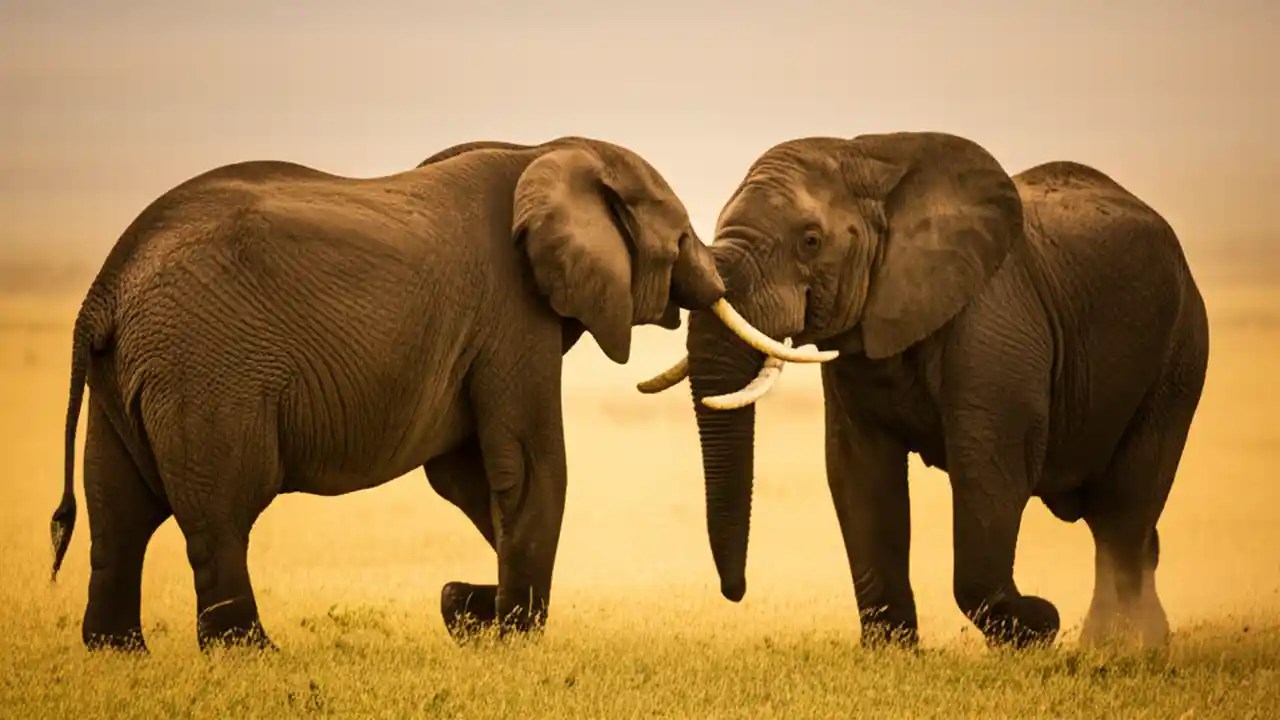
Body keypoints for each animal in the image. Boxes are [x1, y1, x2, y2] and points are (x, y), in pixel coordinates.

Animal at [48, 135, 834, 653]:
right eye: (682, 237)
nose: (735, 596)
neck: (543, 150)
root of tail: (103, 287)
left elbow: (467, 476)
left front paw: (469, 611)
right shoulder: (512, 312)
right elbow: (531, 467)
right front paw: (512, 633)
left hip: (135, 377)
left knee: (118, 515)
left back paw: (118, 653)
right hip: (208, 374)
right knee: (219, 514)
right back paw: (252, 656)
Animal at [638, 132, 1209, 649]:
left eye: (810, 241)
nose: (734, 592)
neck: (869, 157)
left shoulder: (995, 317)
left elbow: (991, 464)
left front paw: (1037, 628)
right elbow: (859, 471)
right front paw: (891, 652)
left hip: (1179, 352)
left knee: (1123, 512)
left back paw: (1115, 647)